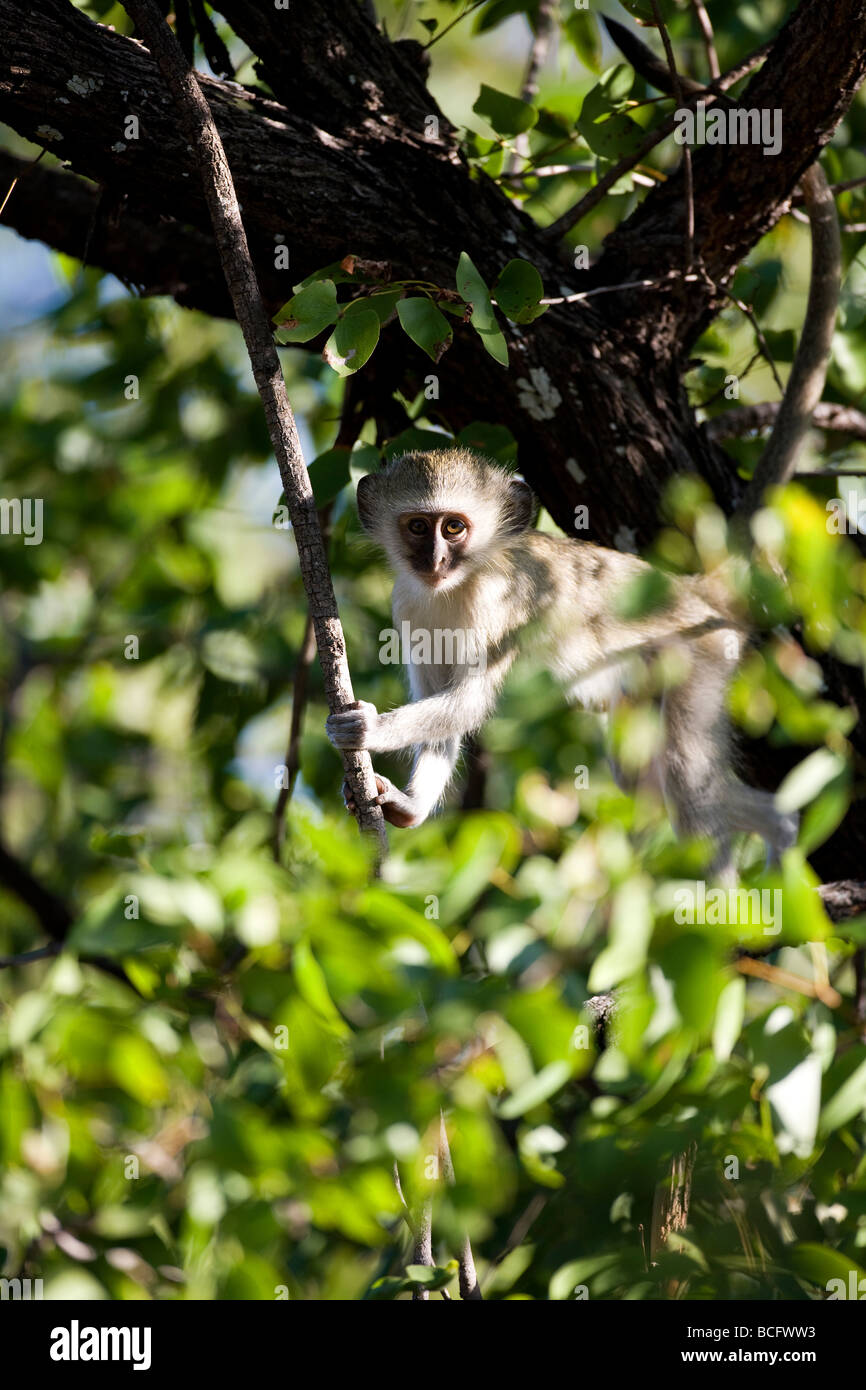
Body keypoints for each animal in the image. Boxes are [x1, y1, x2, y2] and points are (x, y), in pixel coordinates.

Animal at [326, 446, 799, 877]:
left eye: (454, 527)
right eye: (419, 526)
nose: (434, 560)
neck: (456, 585)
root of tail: (694, 593)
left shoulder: (496, 601)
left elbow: (469, 701)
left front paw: (367, 728)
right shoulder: (407, 605)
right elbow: (443, 709)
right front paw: (408, 808)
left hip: (706, 654)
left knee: (685, 776)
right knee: (644, 781)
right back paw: (784, 825)